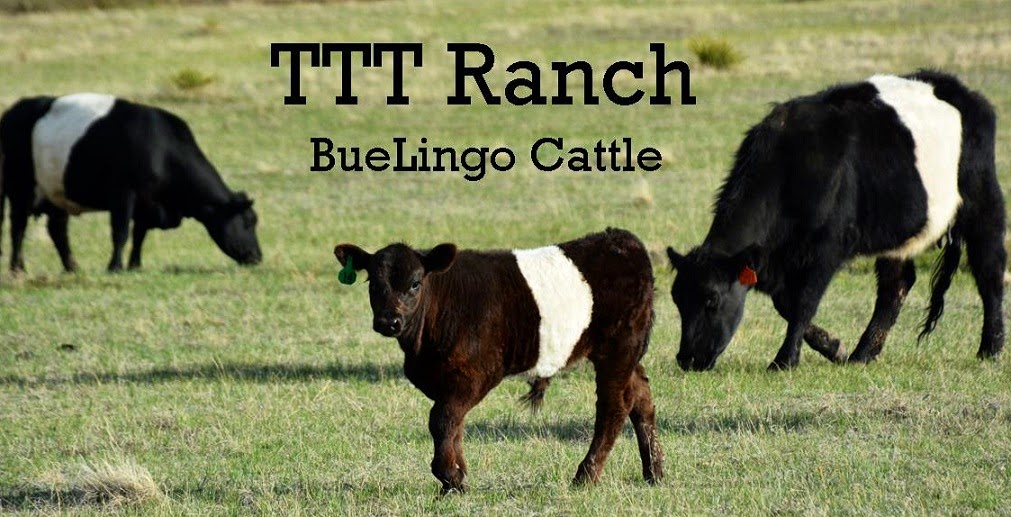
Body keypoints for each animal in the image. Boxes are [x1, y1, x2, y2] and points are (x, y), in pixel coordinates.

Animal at [0, 93, 262, 273]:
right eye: (248, 222)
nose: (257, 256)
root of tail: (15, 110)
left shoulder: (147, 204)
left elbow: (139, 235)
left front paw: (135, 265)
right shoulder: (124, 195)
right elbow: (121, 232)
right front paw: (115, 267)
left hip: (57, 194)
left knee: (57, 230)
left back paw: (72, 267)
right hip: (21, 189)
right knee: (18, 227)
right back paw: (17, 268)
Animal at [333, 228, 663, 493]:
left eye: (415, 283)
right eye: (372, 284)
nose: (389, 322)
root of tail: (623, 239)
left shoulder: (475, 374)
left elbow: (441, 420)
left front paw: (451, 477)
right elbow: (454, 425)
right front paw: (456, 479)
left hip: (617, 348)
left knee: (614, 406)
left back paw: (585, 477)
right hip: (625, 355)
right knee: (641, 396)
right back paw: (654, 473)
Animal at [666, 70, 1005, 371]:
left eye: (711, 299)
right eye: (677, 299)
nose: (687, 359)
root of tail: (959, 90)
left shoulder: (827, 248)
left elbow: (803, 302)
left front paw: (784, 361)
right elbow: (785, 303)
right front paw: (833, 347)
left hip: (983, 200)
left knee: (989, 270)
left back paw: (991, 348)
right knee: (895, 286)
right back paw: (862, 354)